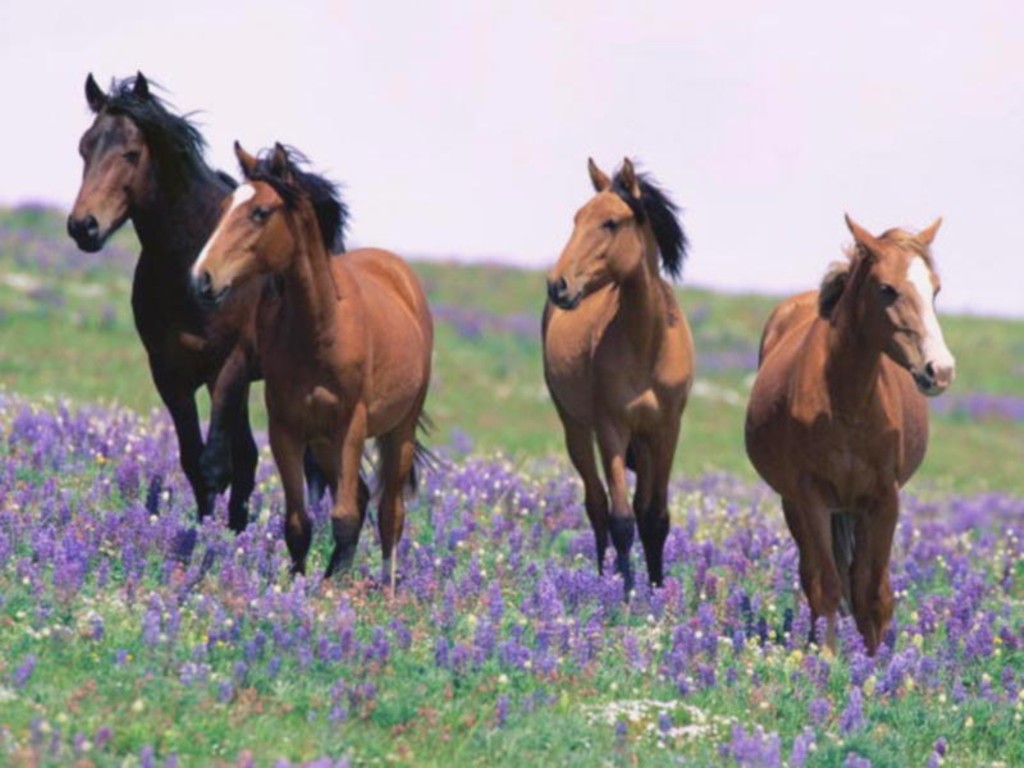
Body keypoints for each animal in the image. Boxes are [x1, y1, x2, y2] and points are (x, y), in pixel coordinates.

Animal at [190, 143, 434, 591]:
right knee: (360, 496)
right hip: (323, 442)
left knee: (389, 512)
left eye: (260, 212)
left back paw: (387, 592)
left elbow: (345, 517)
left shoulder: (351, 425)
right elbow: (298, 523)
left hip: (398, 430)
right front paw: (299, 585)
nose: (203, 277)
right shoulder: (287, 429)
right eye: (226, 207)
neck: (321, 330)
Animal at [543, 158, 694, 596]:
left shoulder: (665, 430)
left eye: (611, 222)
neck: (648, 344)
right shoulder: (611, 427)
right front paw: (623, 594)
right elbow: (622, 519)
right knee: (597, 506)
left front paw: (657, 590)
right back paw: (600, 578)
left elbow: (655, 518)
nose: (558, 285)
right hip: (576, 428)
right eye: (577, 218)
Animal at [745, 215, 955, 654]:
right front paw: (827, 658)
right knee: (814, 576)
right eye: (887, 289)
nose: (940, 370)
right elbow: (827, 585)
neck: (848, 402)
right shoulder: (811, 497)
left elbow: (873, 594)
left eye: (935, 288)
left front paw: (874, 664)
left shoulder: (883, 499)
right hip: (796, 505)